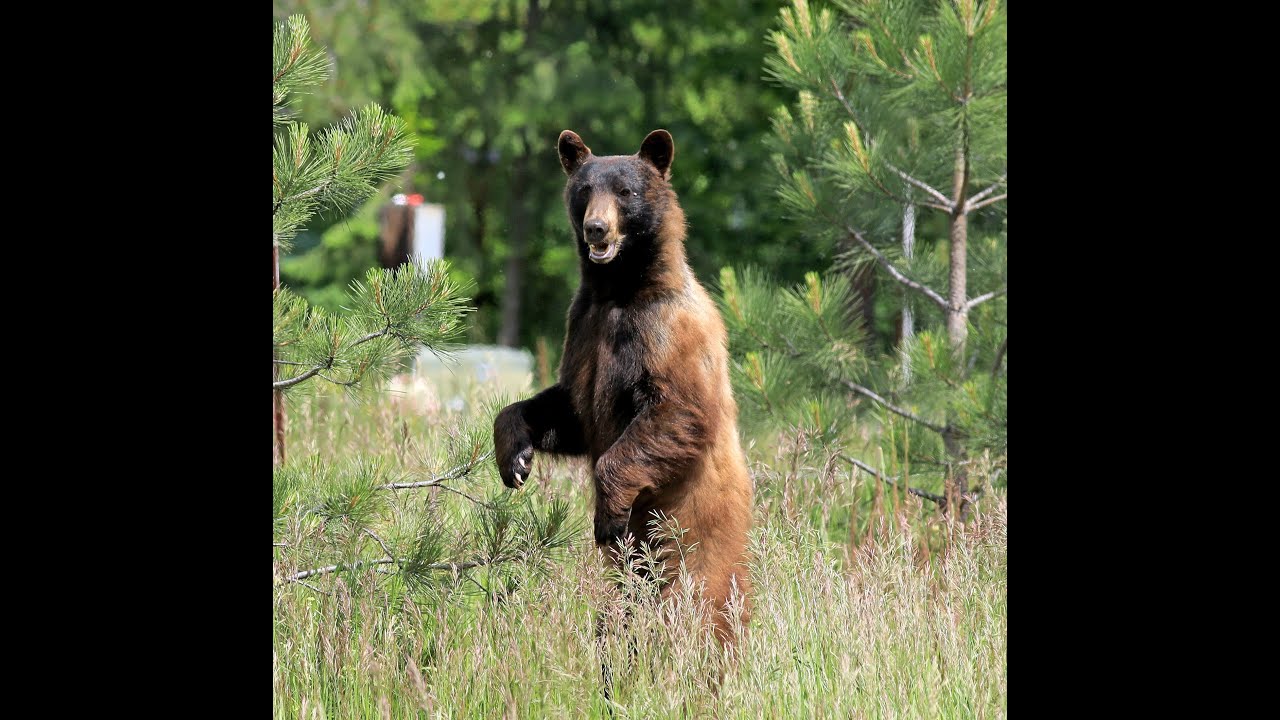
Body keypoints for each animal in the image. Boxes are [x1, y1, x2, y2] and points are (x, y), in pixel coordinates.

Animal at [493, 128, 753, 646]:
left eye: (626, 191)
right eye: (583, 190)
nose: (596, 228)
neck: (618, 292)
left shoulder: (668, 333)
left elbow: (679, 411)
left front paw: (607, 515)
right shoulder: (583, 329)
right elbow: (570, 409)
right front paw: (515, 457)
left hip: (694, 537)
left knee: (701, 604)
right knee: (621, 611)